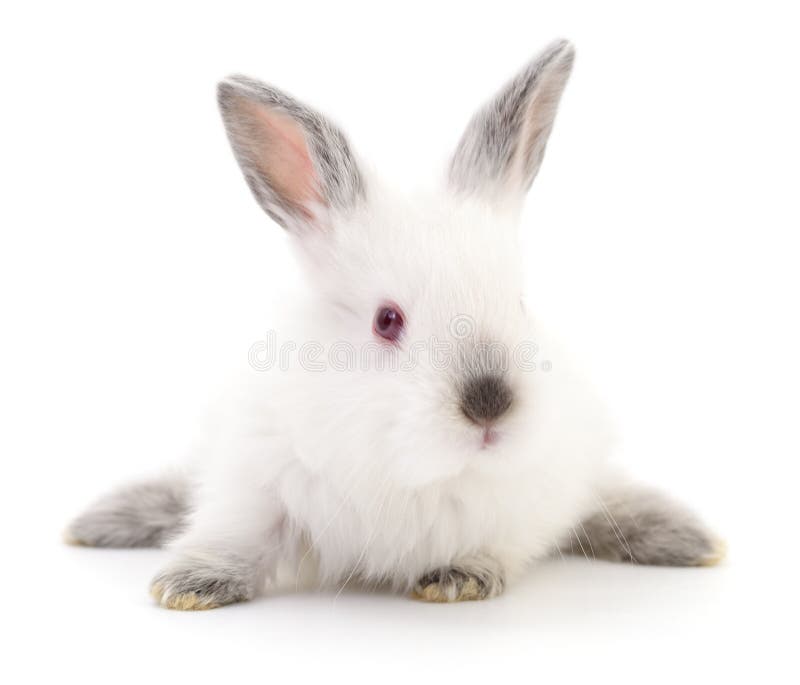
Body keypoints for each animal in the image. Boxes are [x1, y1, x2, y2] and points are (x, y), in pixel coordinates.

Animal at [66, 39, 725, 609]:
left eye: (519, 303)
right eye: (387, 321)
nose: (490, 405)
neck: (406, 467)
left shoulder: (525, 503)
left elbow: (499, 544)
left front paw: (460, 577)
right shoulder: (257, 480)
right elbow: (239, 533)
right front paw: (190, 584)